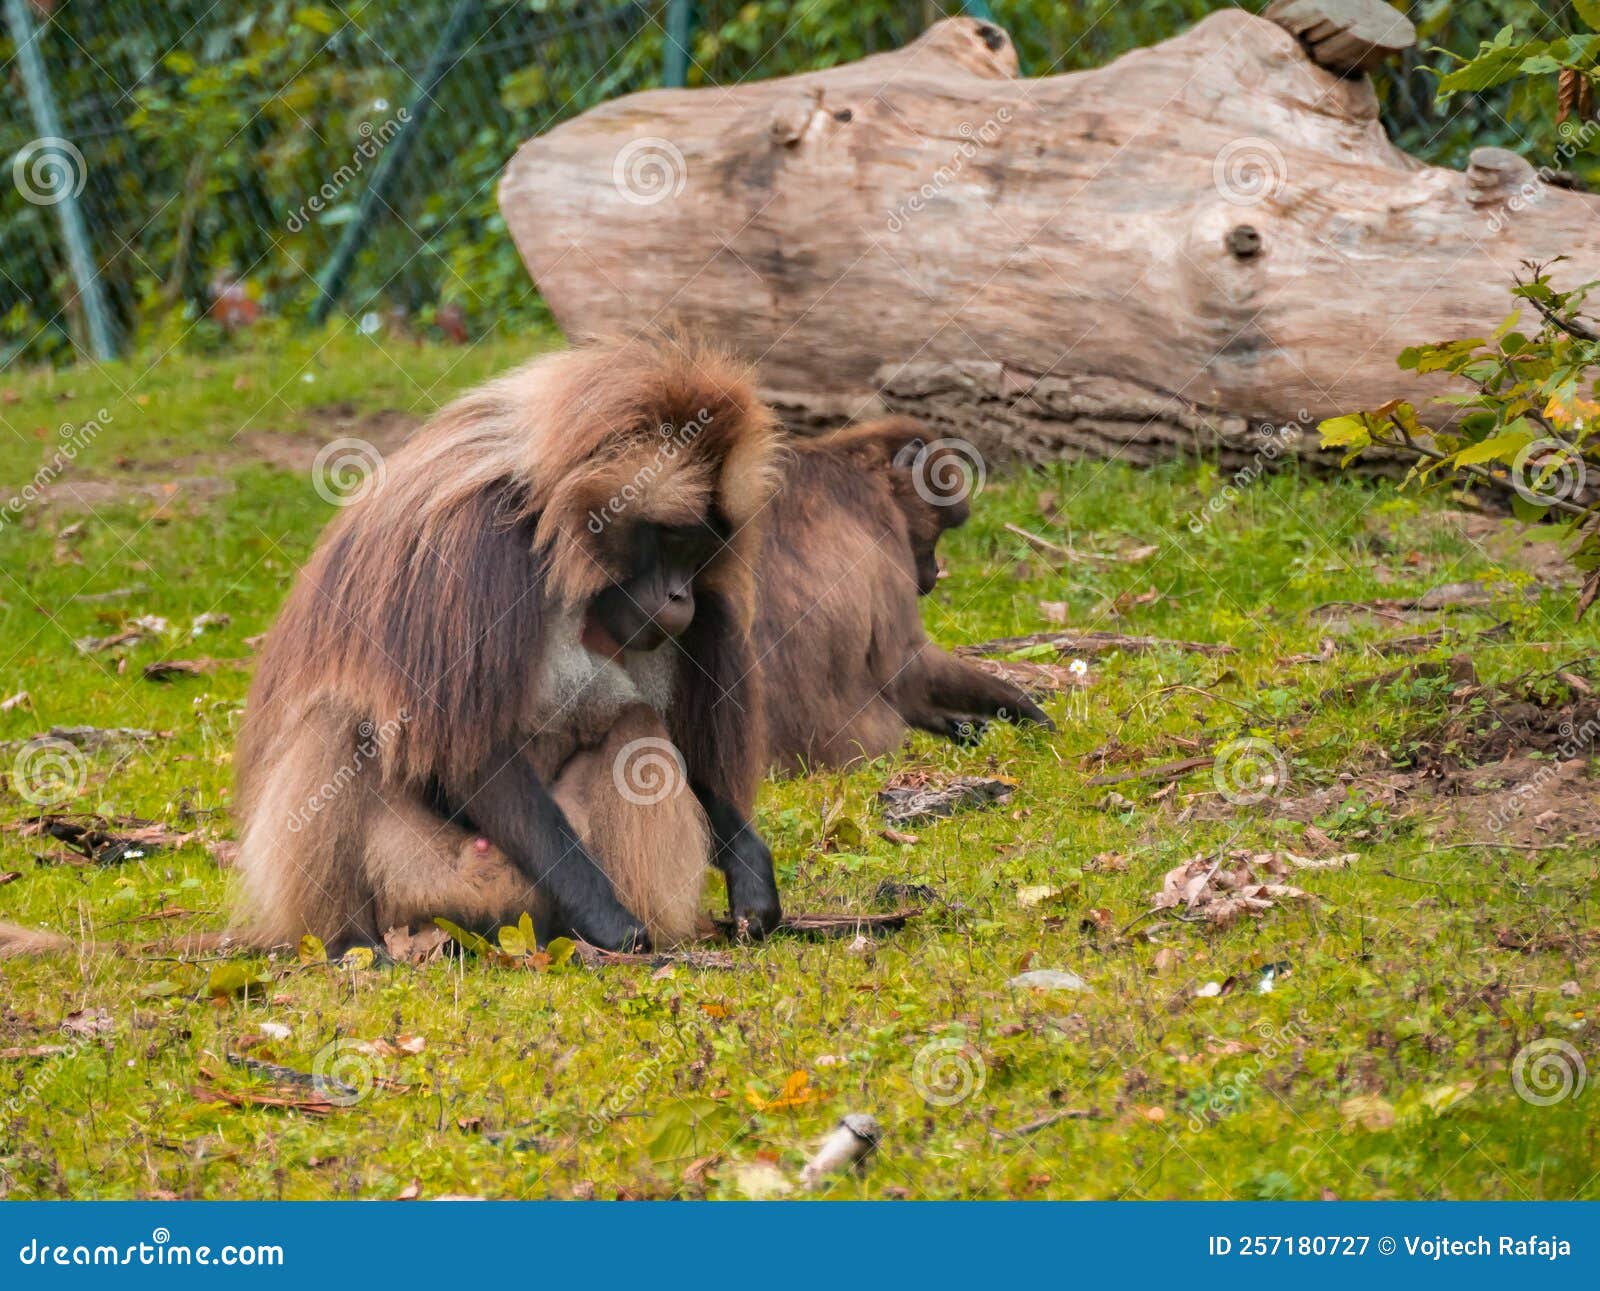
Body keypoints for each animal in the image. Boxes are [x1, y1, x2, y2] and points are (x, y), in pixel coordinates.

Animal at [1, 338, 783, 960]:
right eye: (670, 537)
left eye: (702, 545)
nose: (681, 599)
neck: (556, 536)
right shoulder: (474, 546)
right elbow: (472, 752)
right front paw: (615, 922)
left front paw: (751, 876)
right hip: (428, 876)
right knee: (337, 722)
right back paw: (353, 945)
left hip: (516, 898)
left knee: (637, 729)